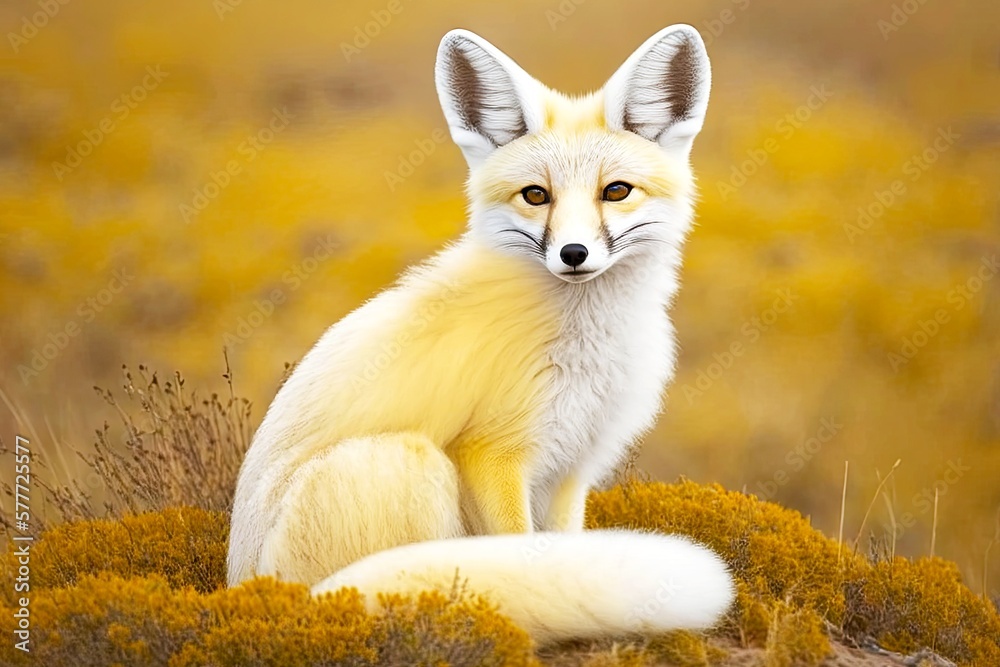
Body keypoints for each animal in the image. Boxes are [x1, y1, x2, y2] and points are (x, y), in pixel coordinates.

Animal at [228, 25, 734, 643]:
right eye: (536, 195)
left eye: (616, 191)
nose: (573, 254)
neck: (584, 348)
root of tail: (252, 591)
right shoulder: (494, 454)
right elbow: (523, 549)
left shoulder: (572, 465)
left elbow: (563, 544)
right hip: (405, 464)